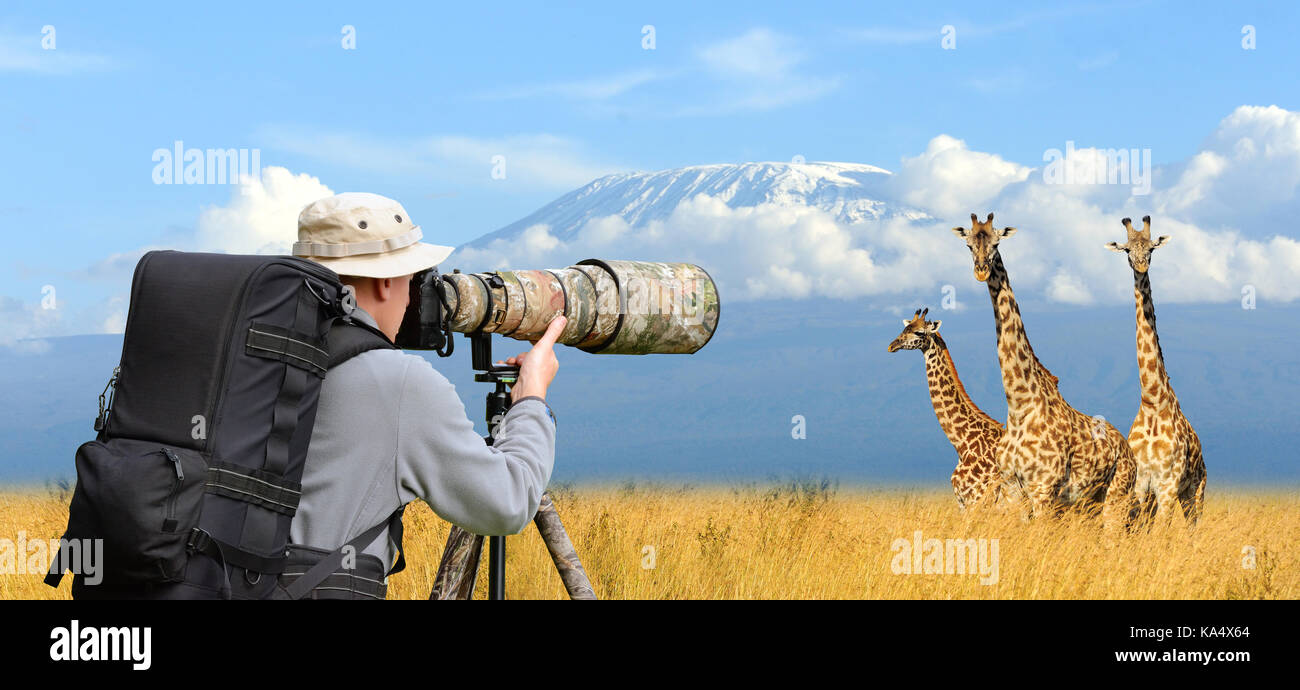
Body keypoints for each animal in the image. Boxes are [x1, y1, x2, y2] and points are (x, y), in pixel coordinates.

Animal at [888, 308, 1004, 509]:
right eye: (904, 328)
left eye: (919, 332)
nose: (892, 345)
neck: (962, 443)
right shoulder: (963, 504)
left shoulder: (978, 500)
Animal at [951, 213, 1136, 533]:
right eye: (968, 245)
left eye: (996, 243)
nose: (981, 271)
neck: (1019, 404)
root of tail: (1128, 450)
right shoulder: (1013, 489)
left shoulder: (1044, 490)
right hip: (1089, 503)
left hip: (1117, 494)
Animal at [1106, 216, 1207, 527]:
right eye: (1127, 250)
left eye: (1151, 248)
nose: (1141, 266)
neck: (1152, 400)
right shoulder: (1141, 484)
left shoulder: (1168, 484)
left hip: (1195, 491)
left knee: (1193, 526)